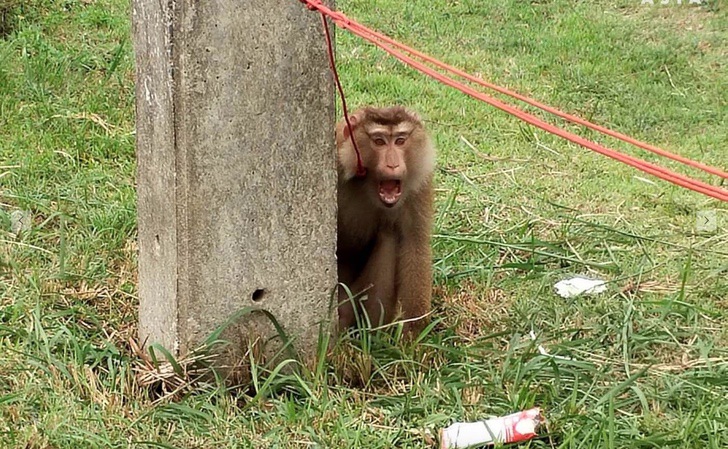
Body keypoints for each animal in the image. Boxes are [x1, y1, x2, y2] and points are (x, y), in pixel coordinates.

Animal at [335, 106, 435, 337]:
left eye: (400, 140)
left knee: (389, 235)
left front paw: (414, 337)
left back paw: (372, 334)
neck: (365, 185)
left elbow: (414, 245)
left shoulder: (419, 185)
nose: (393, 164)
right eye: (379, 141)